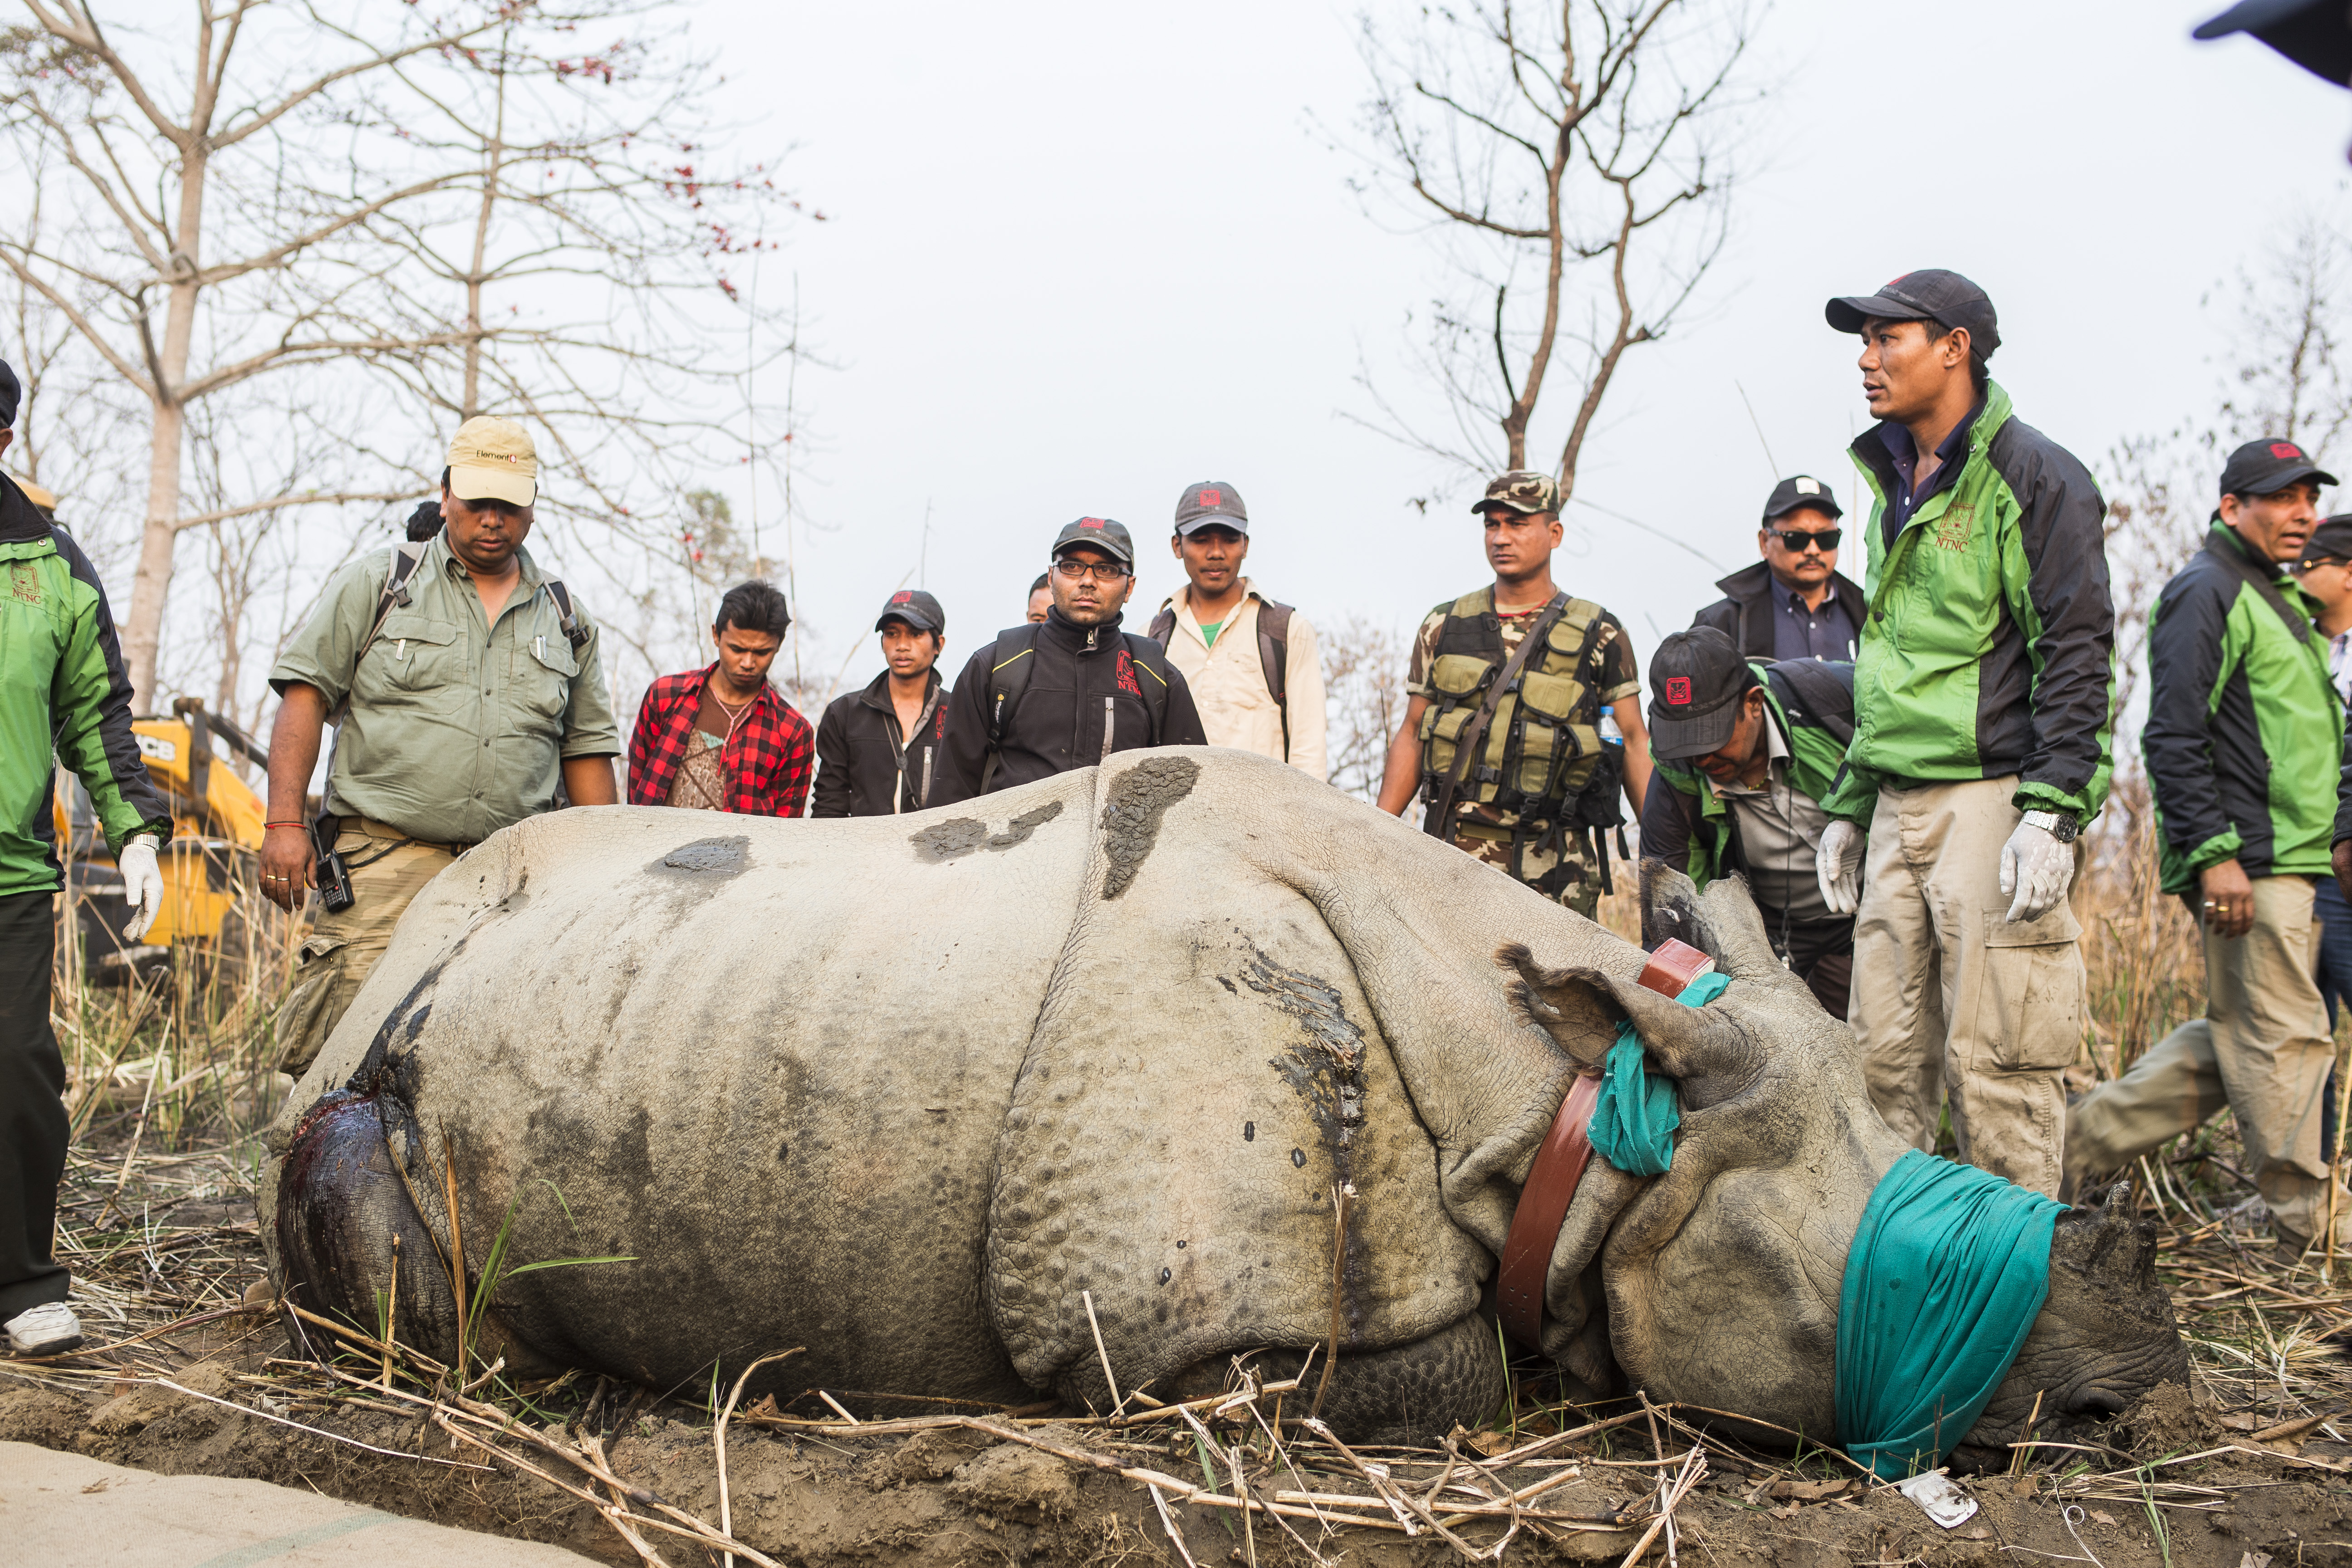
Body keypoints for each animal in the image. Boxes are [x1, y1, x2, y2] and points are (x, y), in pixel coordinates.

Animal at [264, 748, 2184, 1457]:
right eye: (1859, 1255)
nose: (2134, 1378)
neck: (1586, 1103)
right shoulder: (1187, 1319)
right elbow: (1470, 1371)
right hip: (392, 1019)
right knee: (348, 1145)